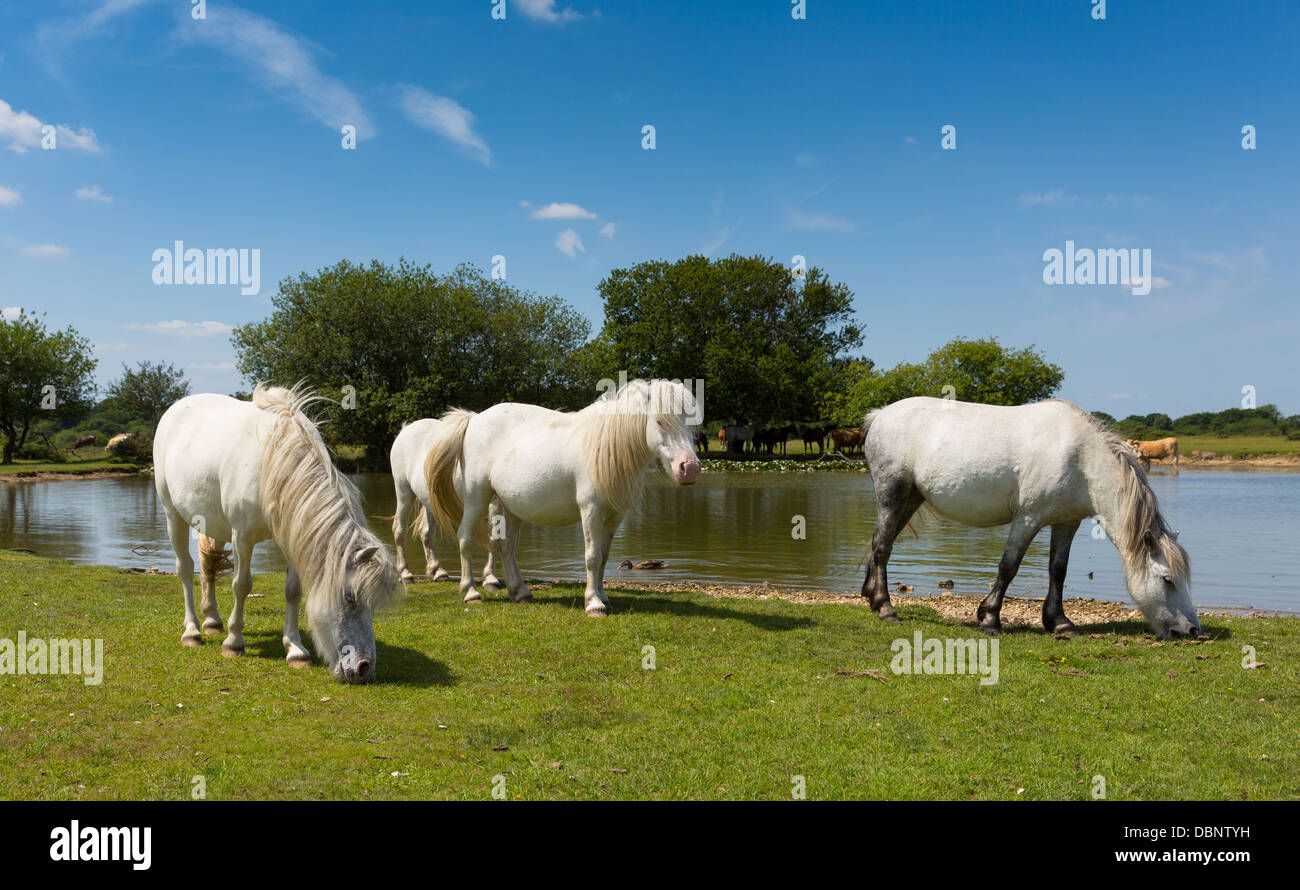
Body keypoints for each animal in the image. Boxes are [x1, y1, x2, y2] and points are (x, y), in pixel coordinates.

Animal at [154, 385, 401, 682]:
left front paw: (295, 650)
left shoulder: (292, 535)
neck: (273, 460)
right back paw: (192, 632)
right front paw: (234, 642)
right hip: (173, 515)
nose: (364, 668)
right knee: (185, 569)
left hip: (213, 523)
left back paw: (212, 620)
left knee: (208, 567)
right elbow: (241, 585)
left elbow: (293, 591)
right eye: (349, 598)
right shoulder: (242, 537)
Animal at [389, 419, 501, 587]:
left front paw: (490, 577)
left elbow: (495, 536)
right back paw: (405, 574)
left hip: (431, 502)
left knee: (426, 532)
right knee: (399, 529)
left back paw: (438, 571)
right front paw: (490, 578)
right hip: (404, 492)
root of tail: (405, 430)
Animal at [424, 379, 702, 616]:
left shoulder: (614, 517)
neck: (605, 448)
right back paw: (471, 593)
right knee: (465, 539)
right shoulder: (591, 511)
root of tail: (474, 419)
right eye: (660, 421)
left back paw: (521, 592)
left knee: (506, 548)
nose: (690, 468)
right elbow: (592, 557)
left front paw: (603, 597)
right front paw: (593, 604)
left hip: (509, 505)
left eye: (691, 424)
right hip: (477, 499)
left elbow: (604, 557)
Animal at [861, 397, 1198, 639]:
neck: (1079, 457)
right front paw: (990, 618)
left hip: (910, 498)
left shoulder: (1066, 523)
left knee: (880, 542)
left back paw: (872, 599)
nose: (1192, 630)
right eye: (1167, 579)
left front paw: (1060, 623)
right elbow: (1008, 567)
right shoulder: (1028, 519)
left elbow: (1058, 571)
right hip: (892, 493)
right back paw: (887, 608)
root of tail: (881, 415)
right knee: (883, 548)